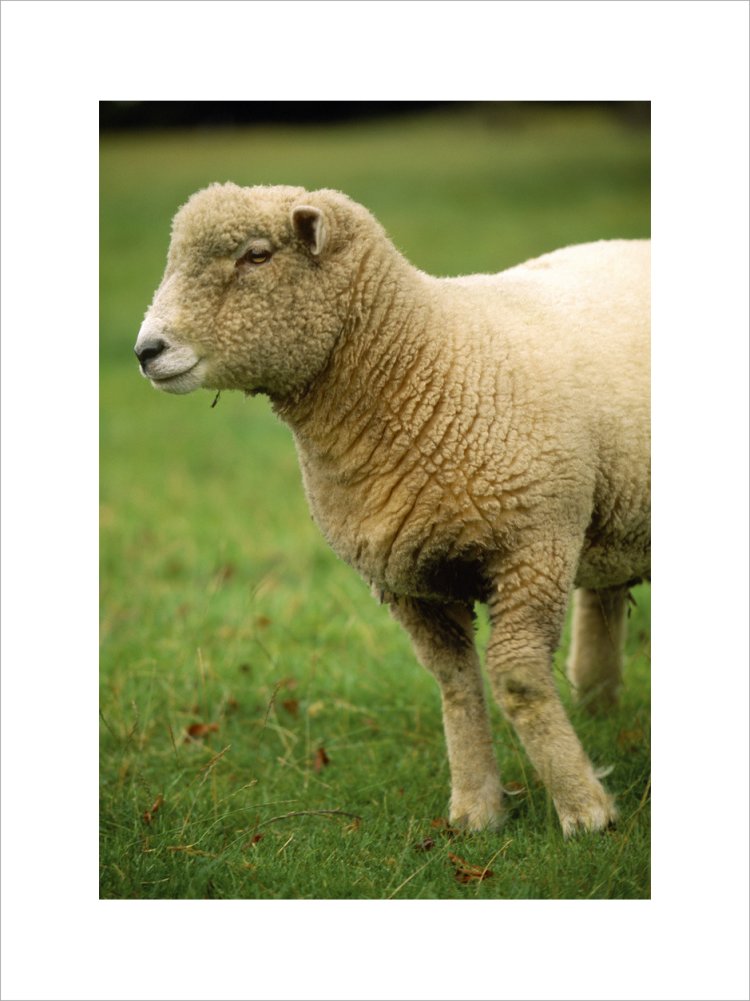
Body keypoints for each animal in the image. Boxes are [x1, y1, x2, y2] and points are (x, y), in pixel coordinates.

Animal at [134, 182, 650, 837]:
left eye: (256, 256)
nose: (147, 351)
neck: (423, 363)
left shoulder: (534, 544)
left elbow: (517, 680)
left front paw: (585, 811)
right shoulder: (408, 579)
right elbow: (456, 683)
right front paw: (477, 810)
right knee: (604, 599)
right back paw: (599, 705)